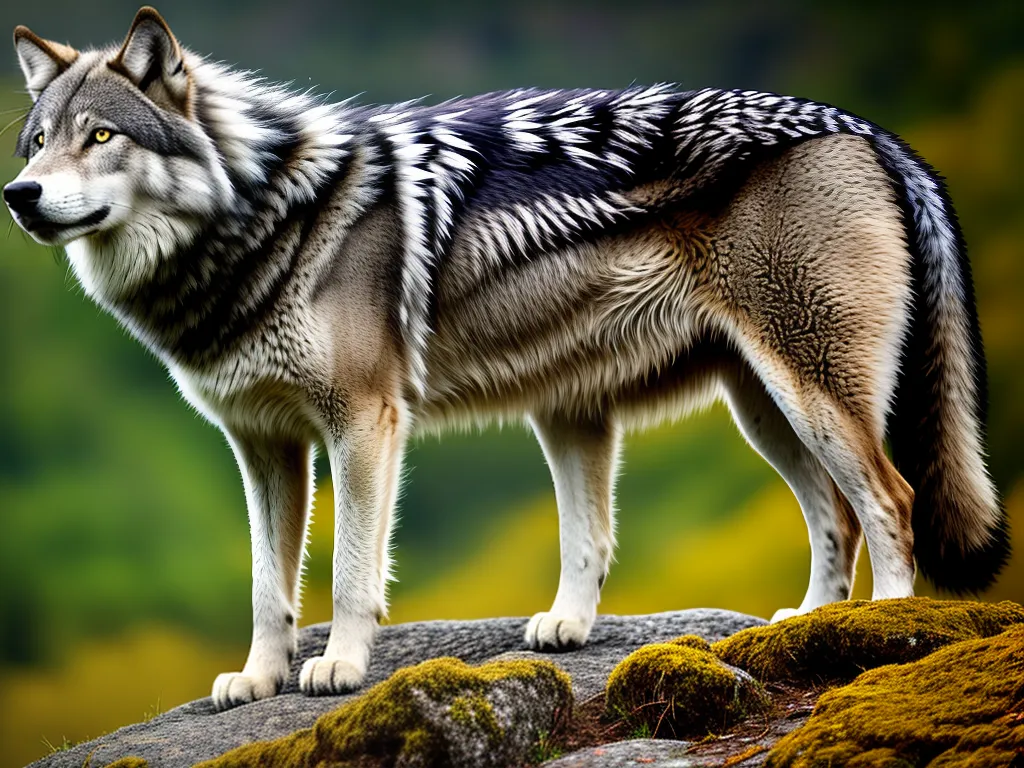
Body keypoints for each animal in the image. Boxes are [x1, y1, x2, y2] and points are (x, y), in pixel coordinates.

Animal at [5, 7, 1008, 709]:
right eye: (38, 142)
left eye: (102, 136)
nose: (20, 196)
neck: (262, 220)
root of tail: (864, 128)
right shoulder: (262, 446)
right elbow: (266, 588)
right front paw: (254, 681)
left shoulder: (363, 423)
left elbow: (351, 574)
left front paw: (338, 667)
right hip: (753, 409)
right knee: (829, 513)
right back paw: (788, 622)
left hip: (805, 393)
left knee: (892, 500)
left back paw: (881, 622)